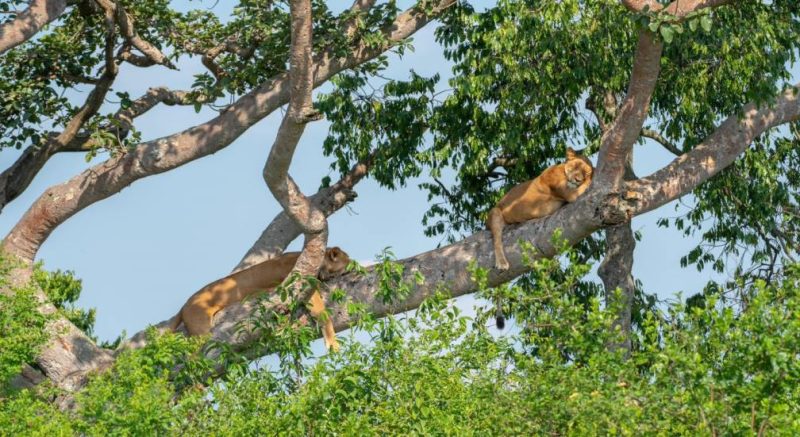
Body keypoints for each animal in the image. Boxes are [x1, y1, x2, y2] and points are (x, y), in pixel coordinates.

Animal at [168, 247, 350, 351]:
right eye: (347, 263)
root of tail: (184, 306)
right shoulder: (302, 283)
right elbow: (322, 314)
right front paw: (333, 343)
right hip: (201, 329)